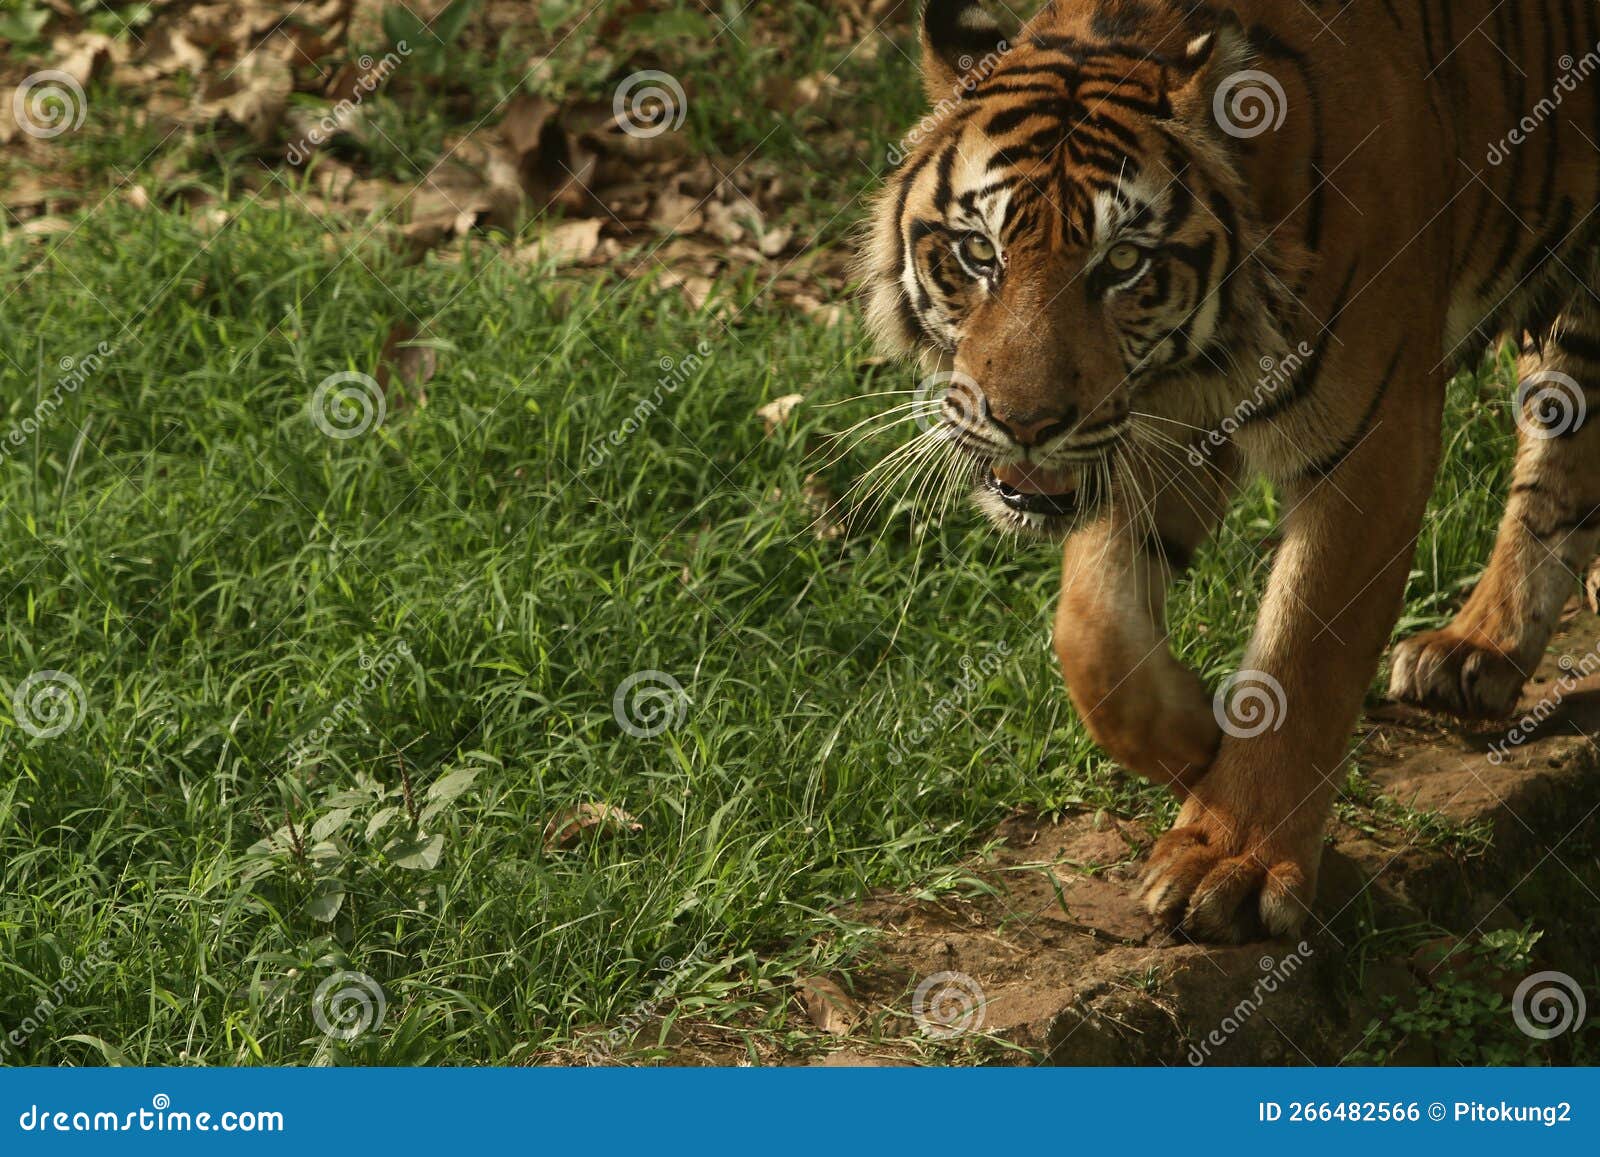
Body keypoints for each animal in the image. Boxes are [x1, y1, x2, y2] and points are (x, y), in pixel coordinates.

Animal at [861, 0, 1600, 942]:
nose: (1025, 424)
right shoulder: (1150, 429)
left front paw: (1235, 861)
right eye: (978, 253)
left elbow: (1303, 654)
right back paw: (1475, 652)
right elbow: (1093, 634)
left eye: (1121, 264)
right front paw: (1196, 741)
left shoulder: (1374, 436)